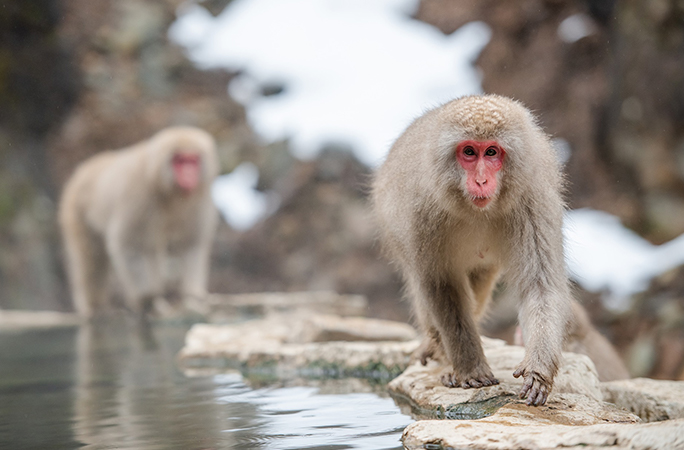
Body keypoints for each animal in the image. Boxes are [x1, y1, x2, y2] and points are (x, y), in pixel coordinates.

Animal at [59, 126, 219, 318]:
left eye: (193, 160)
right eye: (179, 161)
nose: (189, 174)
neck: (168, 192)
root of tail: (85, 168)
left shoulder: (198, 200)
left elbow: (191, 244)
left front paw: (192, 298)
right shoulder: (138, 195)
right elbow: (129, 245)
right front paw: (146, 299)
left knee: (152, 250)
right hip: (75, 210)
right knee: (92, 258)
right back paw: (96, 307)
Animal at [371, 95, 572, 406]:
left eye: (491, 152)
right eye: (468, 152)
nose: (480, 181)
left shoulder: (533, 200)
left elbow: (540, 284)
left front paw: (537, 372)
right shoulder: (421, 213)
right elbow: (440, 285)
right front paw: (469, 369)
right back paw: (440, 352)